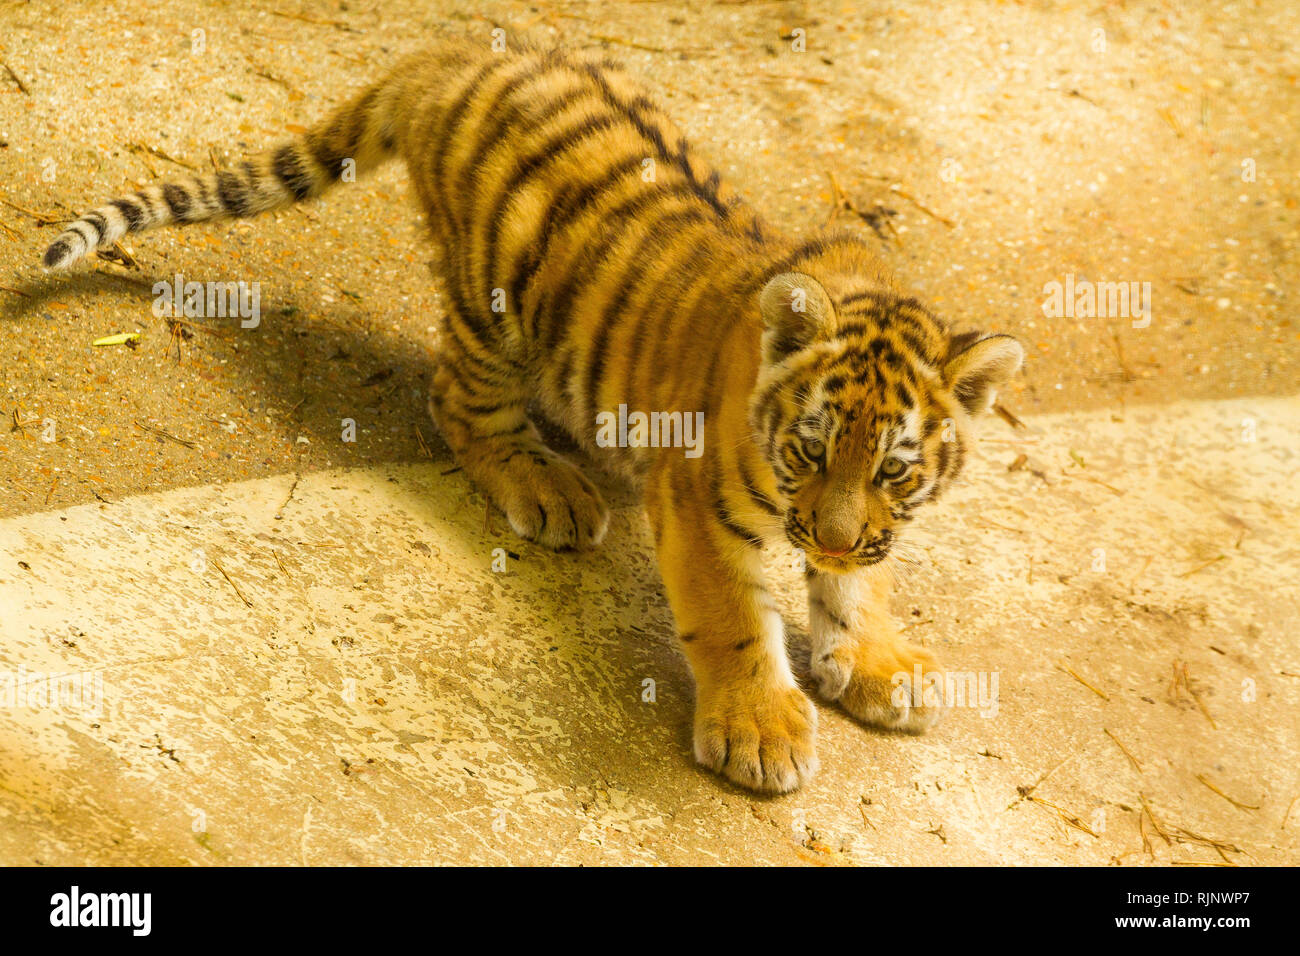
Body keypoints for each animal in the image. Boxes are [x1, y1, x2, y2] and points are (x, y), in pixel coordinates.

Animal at [42, 39, 1024, 793]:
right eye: (809, 452)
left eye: (893, 468)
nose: (829, 537)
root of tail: (460, 53)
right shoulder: (699, 501)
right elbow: (734, 619)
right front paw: (759, 730)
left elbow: (861, 587)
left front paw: (877, 663)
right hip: (499, 299)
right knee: (459, 402)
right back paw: (551, 488)